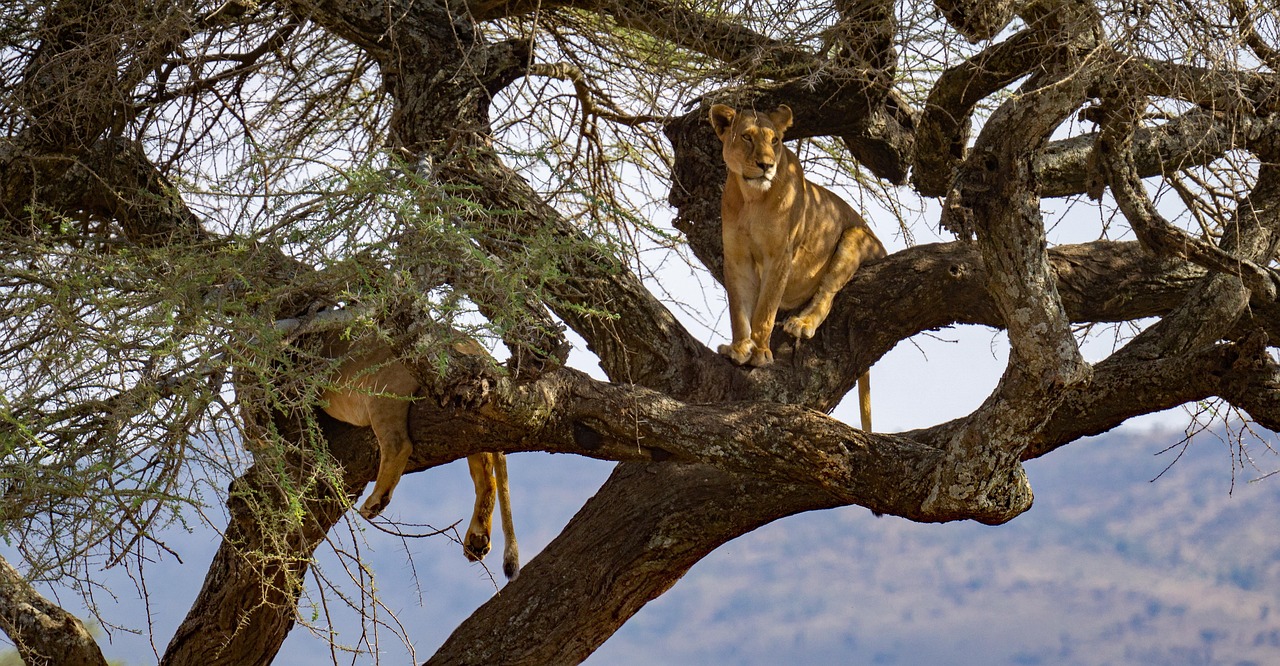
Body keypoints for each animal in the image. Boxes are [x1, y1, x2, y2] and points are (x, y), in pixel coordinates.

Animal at [321, 339, 520, 579]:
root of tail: (475, 347)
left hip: (384, 390)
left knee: (398, 445)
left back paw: (376, 502)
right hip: (470, 425)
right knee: (487, 479)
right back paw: (478, 539)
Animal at [709, 103, 885, 431]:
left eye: (775, 140)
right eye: (747, 137)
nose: (766, 165)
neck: (752, 198)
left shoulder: (780, 255)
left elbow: (764, 311)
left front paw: (759, 352)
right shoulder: (736, 258)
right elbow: (738, 310)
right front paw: (738, 348)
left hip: (854, 237)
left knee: (827, 295)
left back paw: (801, 323)